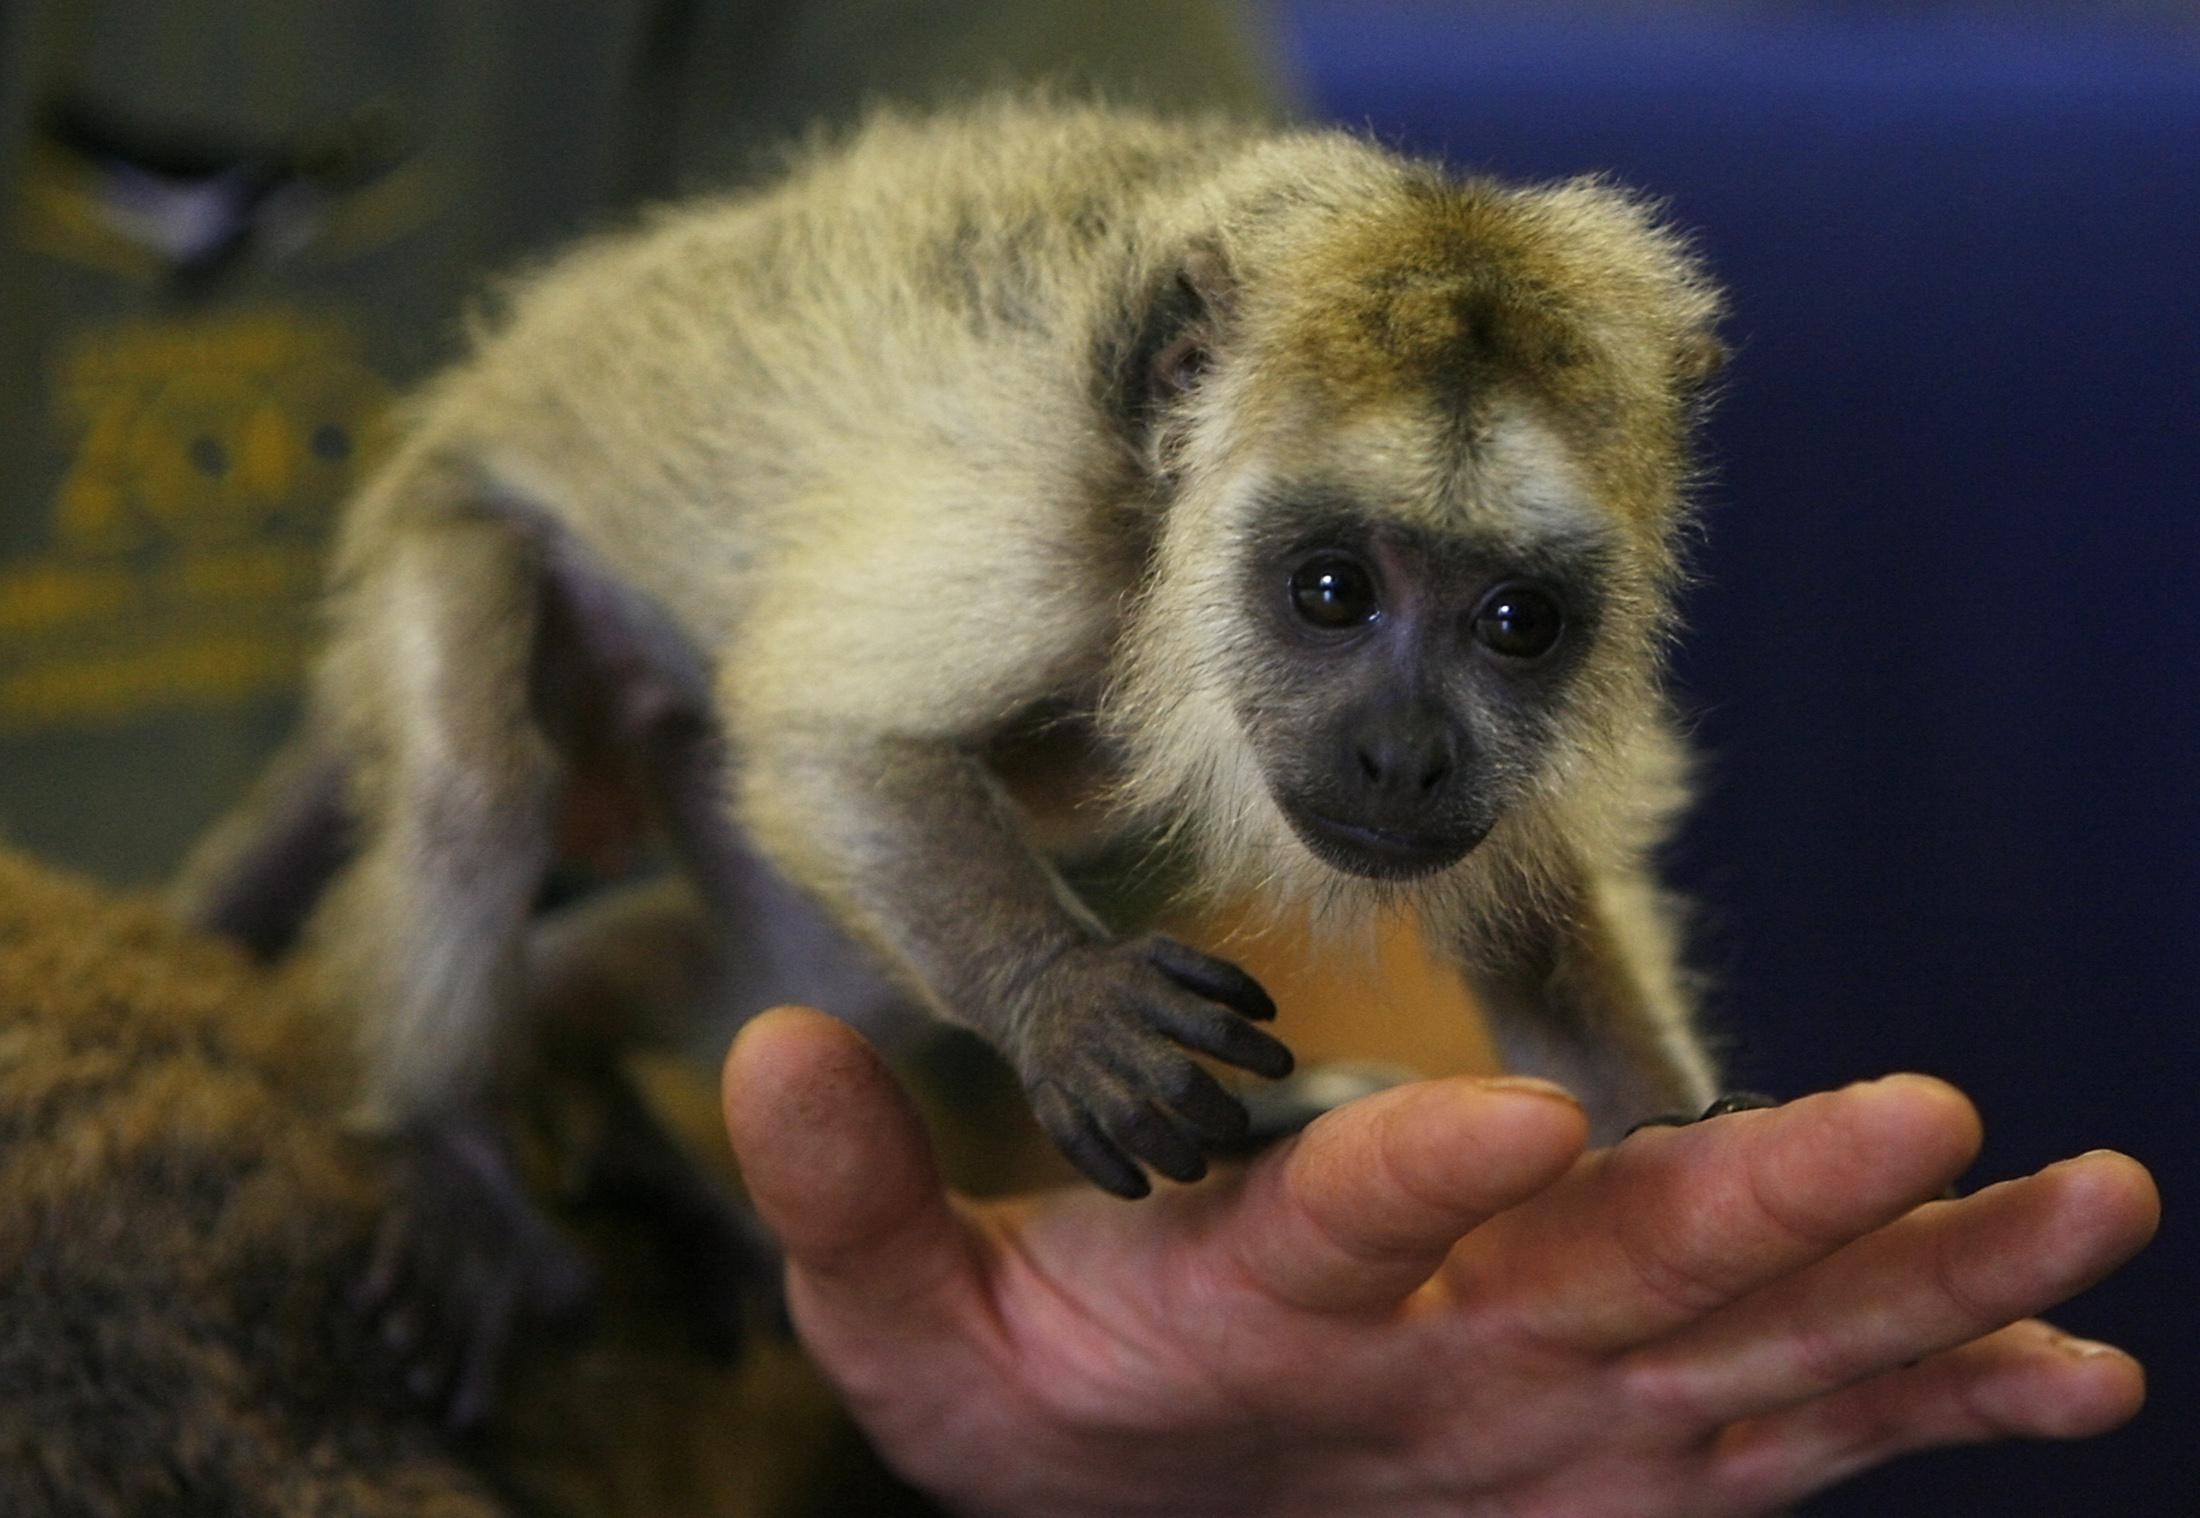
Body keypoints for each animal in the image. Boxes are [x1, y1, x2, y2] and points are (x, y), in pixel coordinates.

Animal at [178, 97, 1731, 1419]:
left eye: (1518, 622)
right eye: (1332, 590)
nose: (1407, 755)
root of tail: (476, 393)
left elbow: (1536, 885)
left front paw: (1662, 1122)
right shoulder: (1035, 518)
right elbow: (823, 729)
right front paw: (1066, 1002)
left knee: (820, 964)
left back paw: (571, 1046)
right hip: (452, 522)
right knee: (482, 790)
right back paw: (448, 1144)